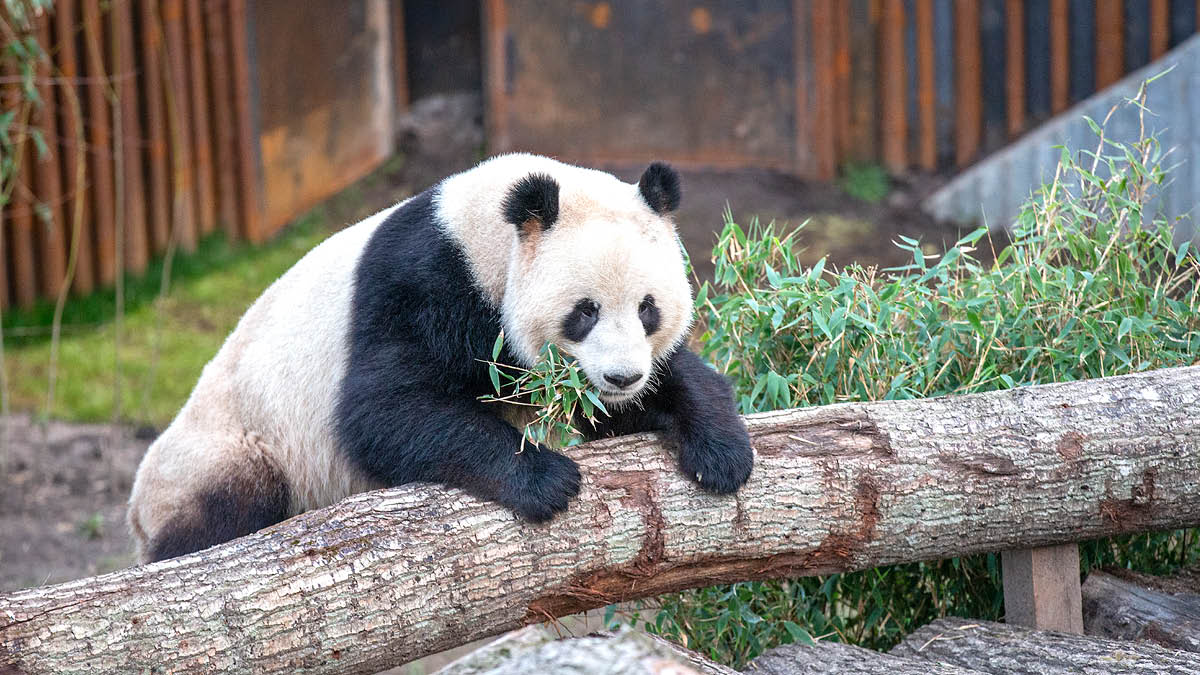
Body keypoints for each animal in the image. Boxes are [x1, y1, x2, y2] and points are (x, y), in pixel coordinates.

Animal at [127, 154, 753, 563]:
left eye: (648, 309)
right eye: (585, 311)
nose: (622, 376)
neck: (486, 234)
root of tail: (135, 510)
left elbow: (643, 400)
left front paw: (721, 452)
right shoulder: (421, 284)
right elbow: (383, 409)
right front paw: (545, 478)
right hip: (232, 446)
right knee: (223, 507)